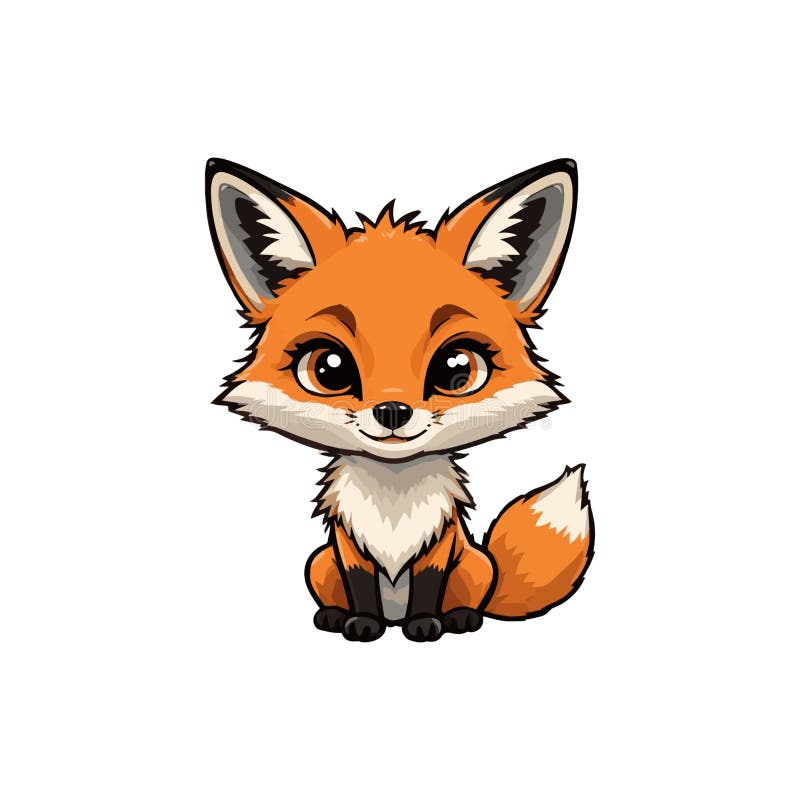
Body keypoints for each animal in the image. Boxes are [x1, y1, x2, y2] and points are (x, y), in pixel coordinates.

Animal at [206, 157, 594, 642]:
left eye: (456, 367)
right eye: (329, 367)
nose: (392, 411)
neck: (392, 501)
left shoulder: (440, 545)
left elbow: (429, 586)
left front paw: (426, 624)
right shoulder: (347, 546)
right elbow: (360, 587)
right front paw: (362, 624)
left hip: (476, 566)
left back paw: (461, 617)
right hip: (318, 563)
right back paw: (333, 616)